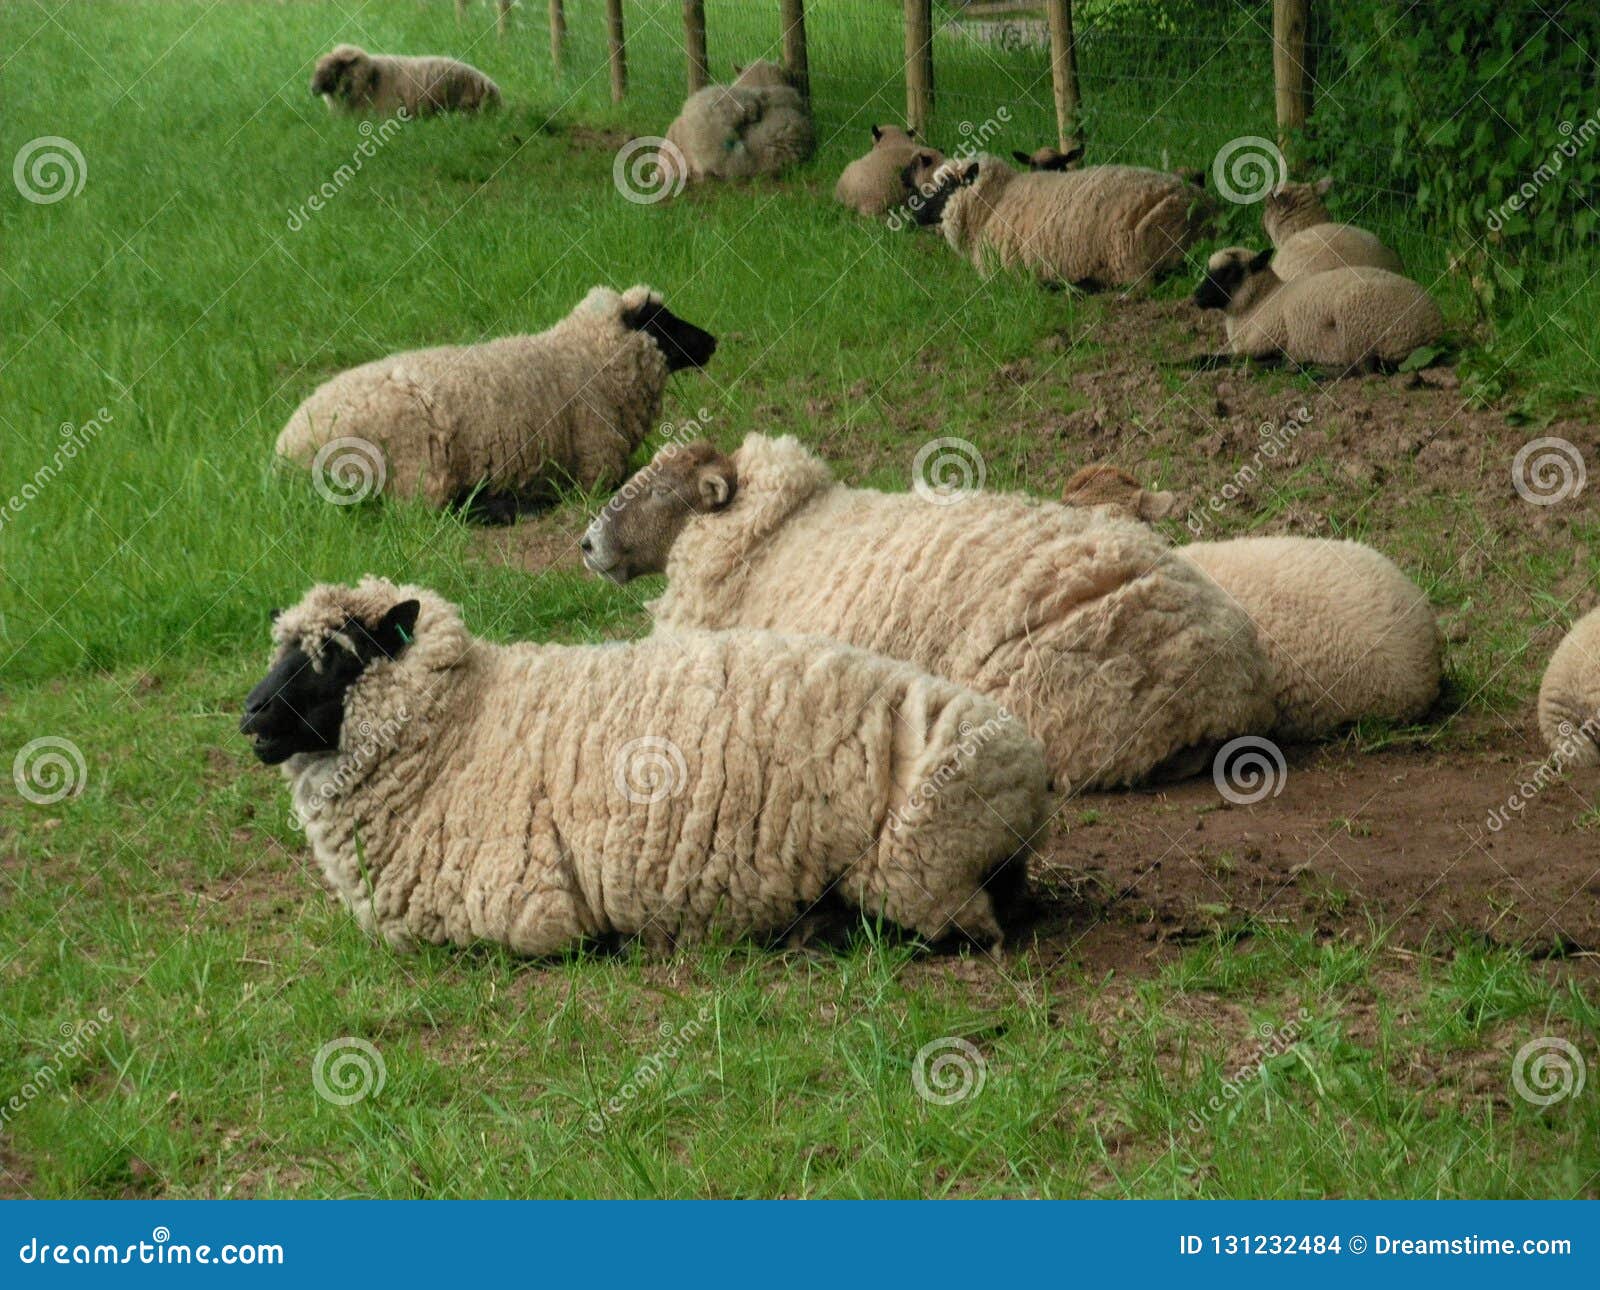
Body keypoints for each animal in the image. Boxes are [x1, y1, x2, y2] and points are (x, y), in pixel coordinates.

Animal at [240, 577, 1050, 954]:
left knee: (965, 926)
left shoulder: (529, 910)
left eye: (336, 656)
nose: (249, 715)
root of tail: (1033, 775)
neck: (463, 727)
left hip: (919, 870)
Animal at [275, 285, 716, 522]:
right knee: (431, 513)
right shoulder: (597, 466)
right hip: (413, 470)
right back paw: (514, 505)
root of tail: (285, 452)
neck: (583, 359)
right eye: (662, 321)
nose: (712, 341)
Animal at [1193, 247, 1443, 371]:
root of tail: (1432, 327)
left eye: (1229, 272)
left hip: (1357, 321)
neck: (1261, 303)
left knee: (1362, 368)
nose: (1196, 296)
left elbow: (1219, 359)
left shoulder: (1269, 338)